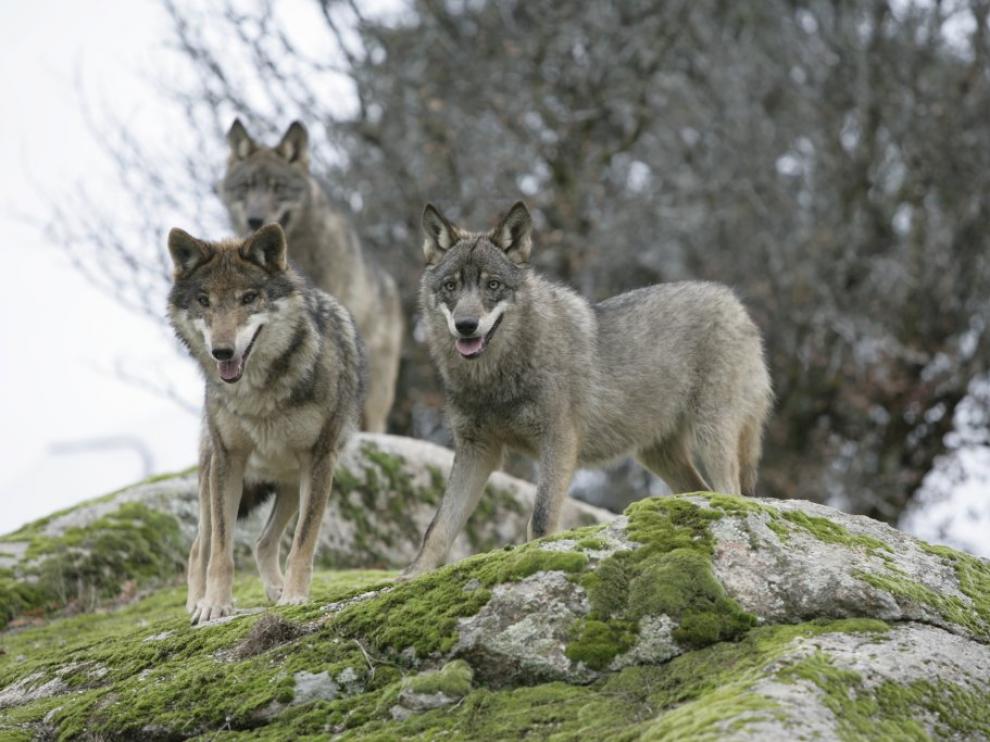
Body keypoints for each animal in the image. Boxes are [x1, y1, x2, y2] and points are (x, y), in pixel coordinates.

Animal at [167, 223, 364, 624]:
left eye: (248, 298)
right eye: (204, 300)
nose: (222, 352)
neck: (258, 394)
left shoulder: (320, 460)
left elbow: (303, 543)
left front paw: (294, 597)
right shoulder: (229, 461)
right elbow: (222, 550)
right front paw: (215, 605)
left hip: (291, 483)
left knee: (263, 542)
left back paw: (276, 590)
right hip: (212, 478)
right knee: (200, 546)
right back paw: (196, 602)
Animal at [403, 202, 773, 577]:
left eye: (492, 284)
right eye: (451, 286)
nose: (466, 326)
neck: (494, 379)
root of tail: (734, 302)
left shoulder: (558, 441)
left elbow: (540, 519)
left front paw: (536, 560)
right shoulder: (476, 450)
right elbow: (438, 527)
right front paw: (412, 575)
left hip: (711, 435)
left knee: (732, 493)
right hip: (658, 454)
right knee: (701, 491)